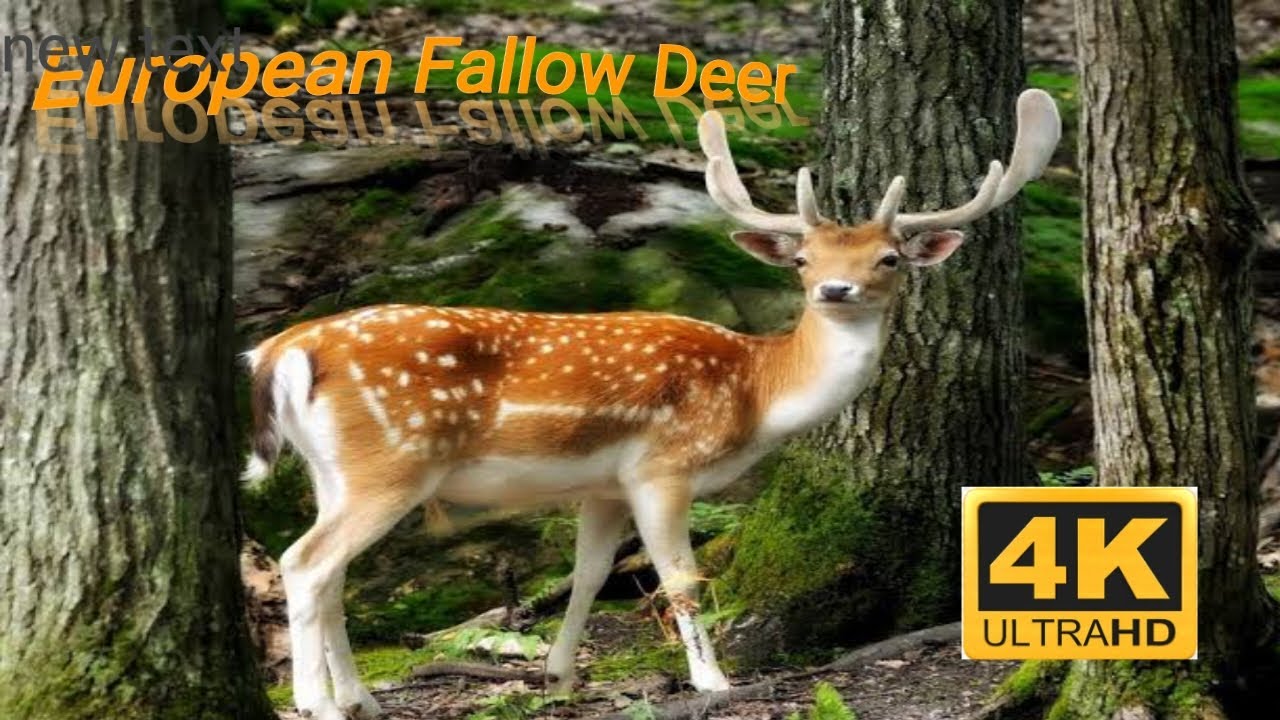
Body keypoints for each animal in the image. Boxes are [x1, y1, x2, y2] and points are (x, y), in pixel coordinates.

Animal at [241, 89, 1059, 720]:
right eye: (802, 259)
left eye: (887, 258)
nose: (835, 289)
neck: (756, 392)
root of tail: (282, 350)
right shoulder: (664, 466)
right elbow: (680, 578)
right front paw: (714, 681)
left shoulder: (604, 484)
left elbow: (589, 574)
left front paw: (559, 676)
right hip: (391, 462)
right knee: (304, 563)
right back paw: (315, 703)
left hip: (333, 470)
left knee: (329, 574)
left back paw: (361, 699)